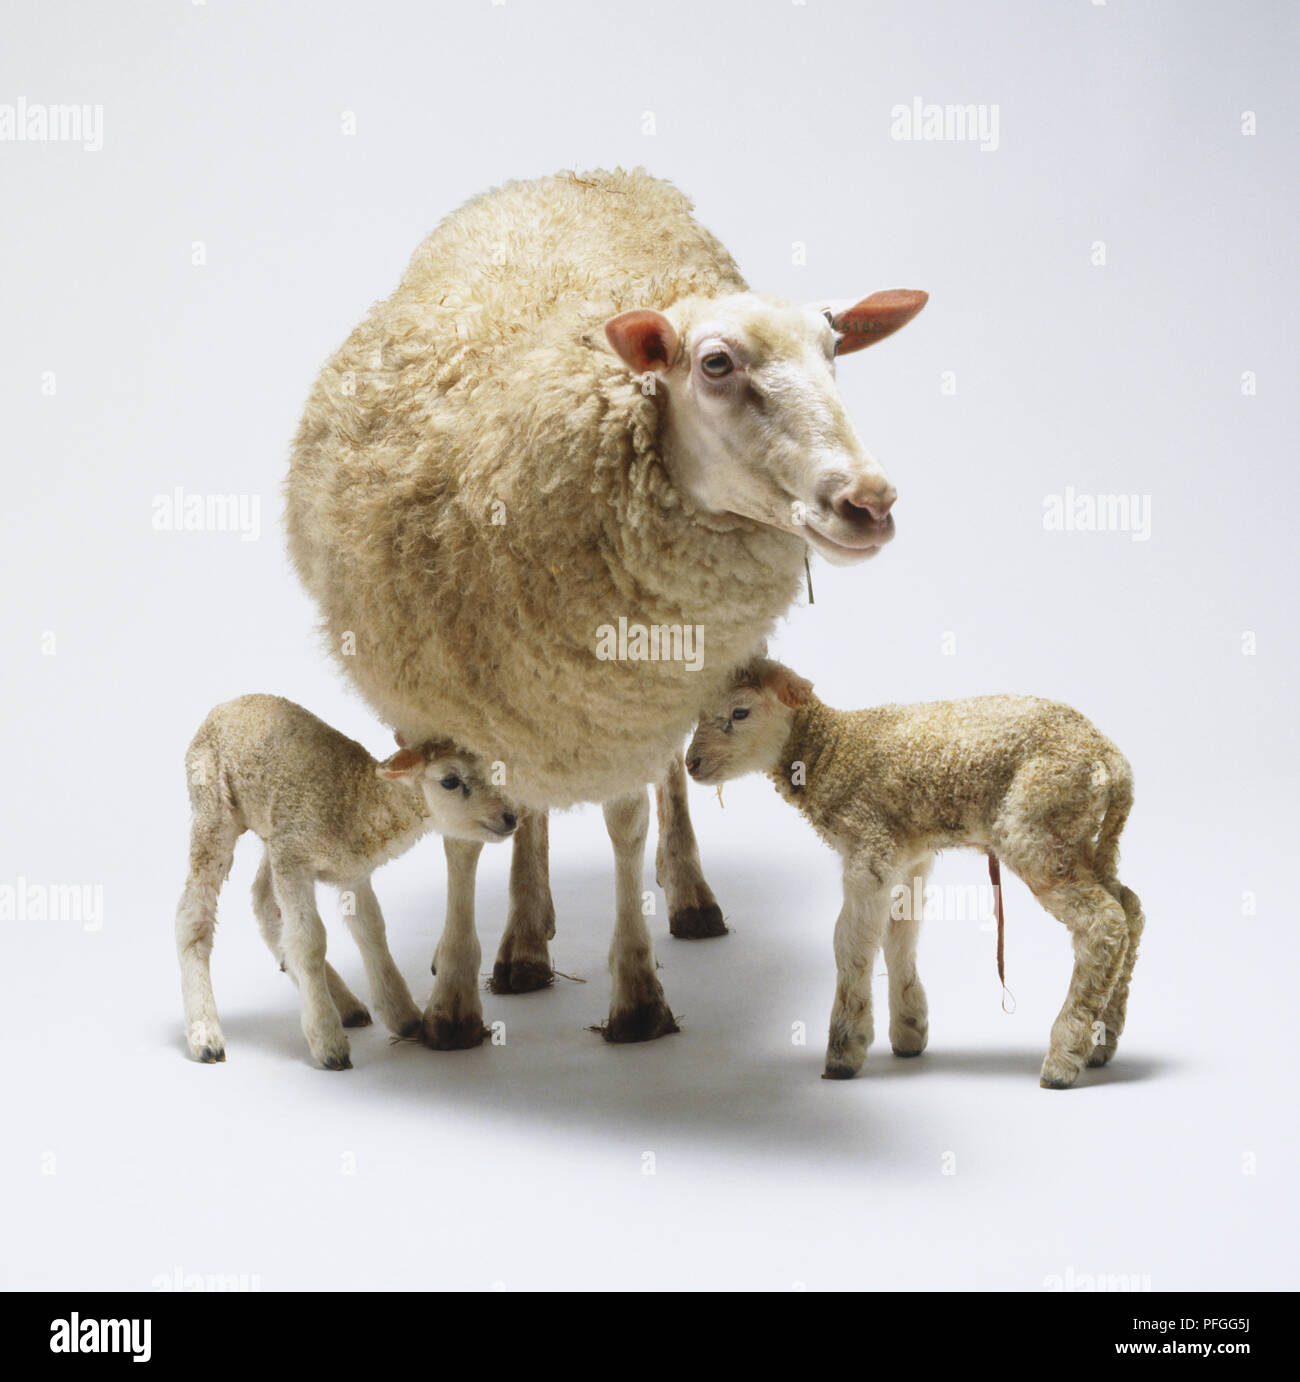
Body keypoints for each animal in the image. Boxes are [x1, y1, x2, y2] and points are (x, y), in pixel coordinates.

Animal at [174, 694, 518, 1069]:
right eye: (450, 781)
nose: (510, 817)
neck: (358, 801)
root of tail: (226, 705)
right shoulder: (294, 856)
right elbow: (309, 942)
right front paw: (328, 1042)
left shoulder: (350, 872)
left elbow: (371, 930)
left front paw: (403, 1014)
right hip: (214, 809)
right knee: (193, 914)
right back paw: (206, 1035)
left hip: (270, 829)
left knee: (264, 901)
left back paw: (346, 1004)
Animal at [285, 166, 928, 1047]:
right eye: (716, 364)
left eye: (836, 352)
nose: (870, 502)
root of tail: (573, 173)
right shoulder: (438, 702)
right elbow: (461, 842)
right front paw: (453, 1001)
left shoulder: (626, 699)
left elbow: (628, 823)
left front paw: (638, 996)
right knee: (527, 809)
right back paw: (524, 936)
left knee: (669, 787)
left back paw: (684, 897)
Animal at [685, 659, 1145, 1089]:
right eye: (698, 713)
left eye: (740, 712)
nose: (692, 763)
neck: (832, 749)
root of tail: (1111, 760)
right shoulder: (907, 855)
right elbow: (899, 934)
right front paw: (909, 1030)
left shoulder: (869, 846)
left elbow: (849, 943)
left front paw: (844, 1050)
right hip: (1082, 835)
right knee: (1130, 909)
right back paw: (1102, 1041)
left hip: (1035, 827)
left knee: (1103, 921)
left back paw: (1063, 1059)